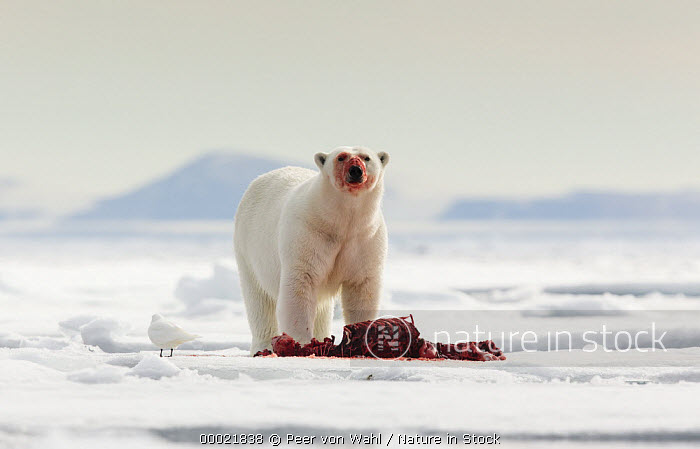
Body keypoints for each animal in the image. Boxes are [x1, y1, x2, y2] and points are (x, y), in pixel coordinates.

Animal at [233, 146, 390, 354]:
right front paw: (302, 344)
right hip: (248, 251)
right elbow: (300, 285)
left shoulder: (365, 240)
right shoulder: (308, 234)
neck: (341, 223)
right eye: (341, 157)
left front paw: (362, 340)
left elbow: (361, 289)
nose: (355, 171)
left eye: (367, 158)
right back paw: (263, 347)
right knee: (259, 300)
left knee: (323, 310)